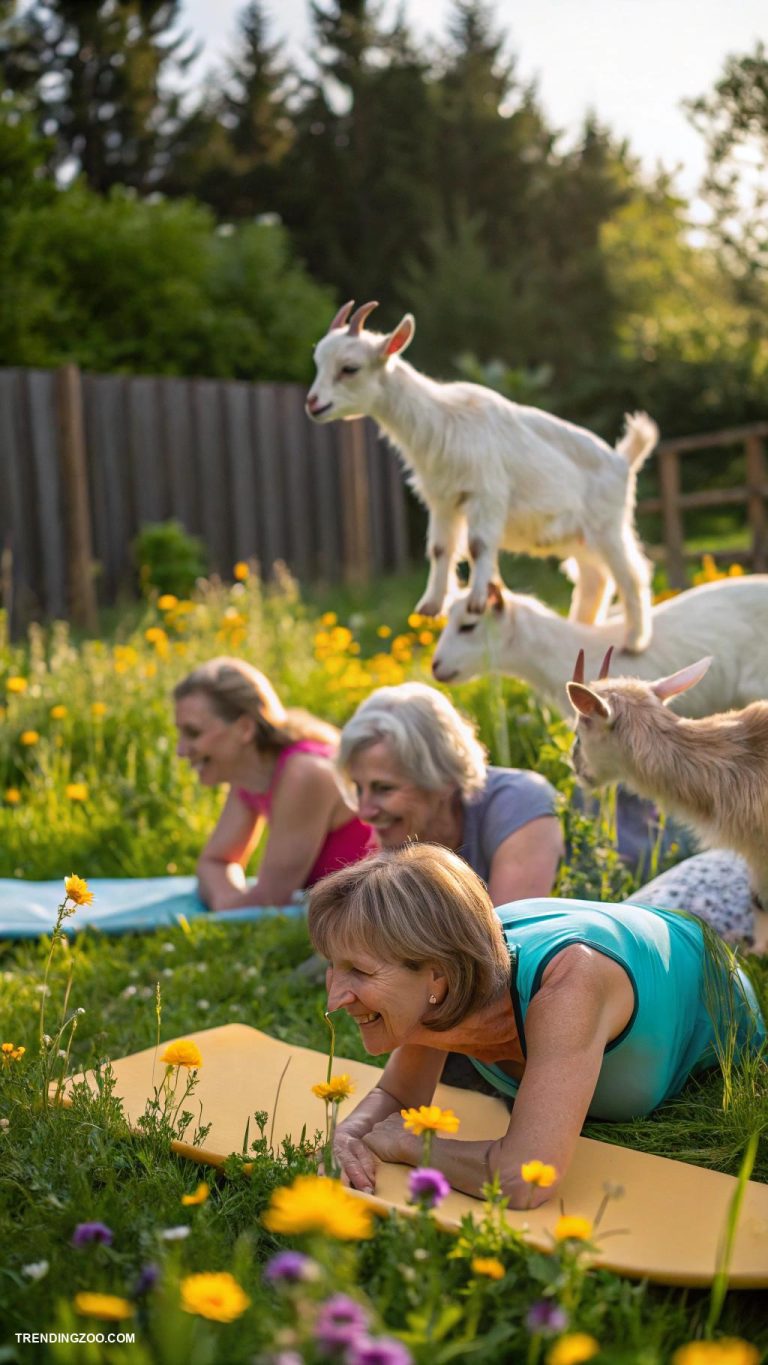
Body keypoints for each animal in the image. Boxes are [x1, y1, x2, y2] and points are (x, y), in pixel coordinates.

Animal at [306, 300, 658, 651]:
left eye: (350, 368)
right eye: (318, 363)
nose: (313, 404)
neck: (441, 420)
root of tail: (623, 459)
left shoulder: (486, 493)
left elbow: (478, 545)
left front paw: (476, 601)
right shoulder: (442, 499)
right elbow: (440, 548)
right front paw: (430, 606)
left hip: (608, 525)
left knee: (632, 574)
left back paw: (633, 640)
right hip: (578, 539)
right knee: (594, 579)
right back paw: (582, 627)